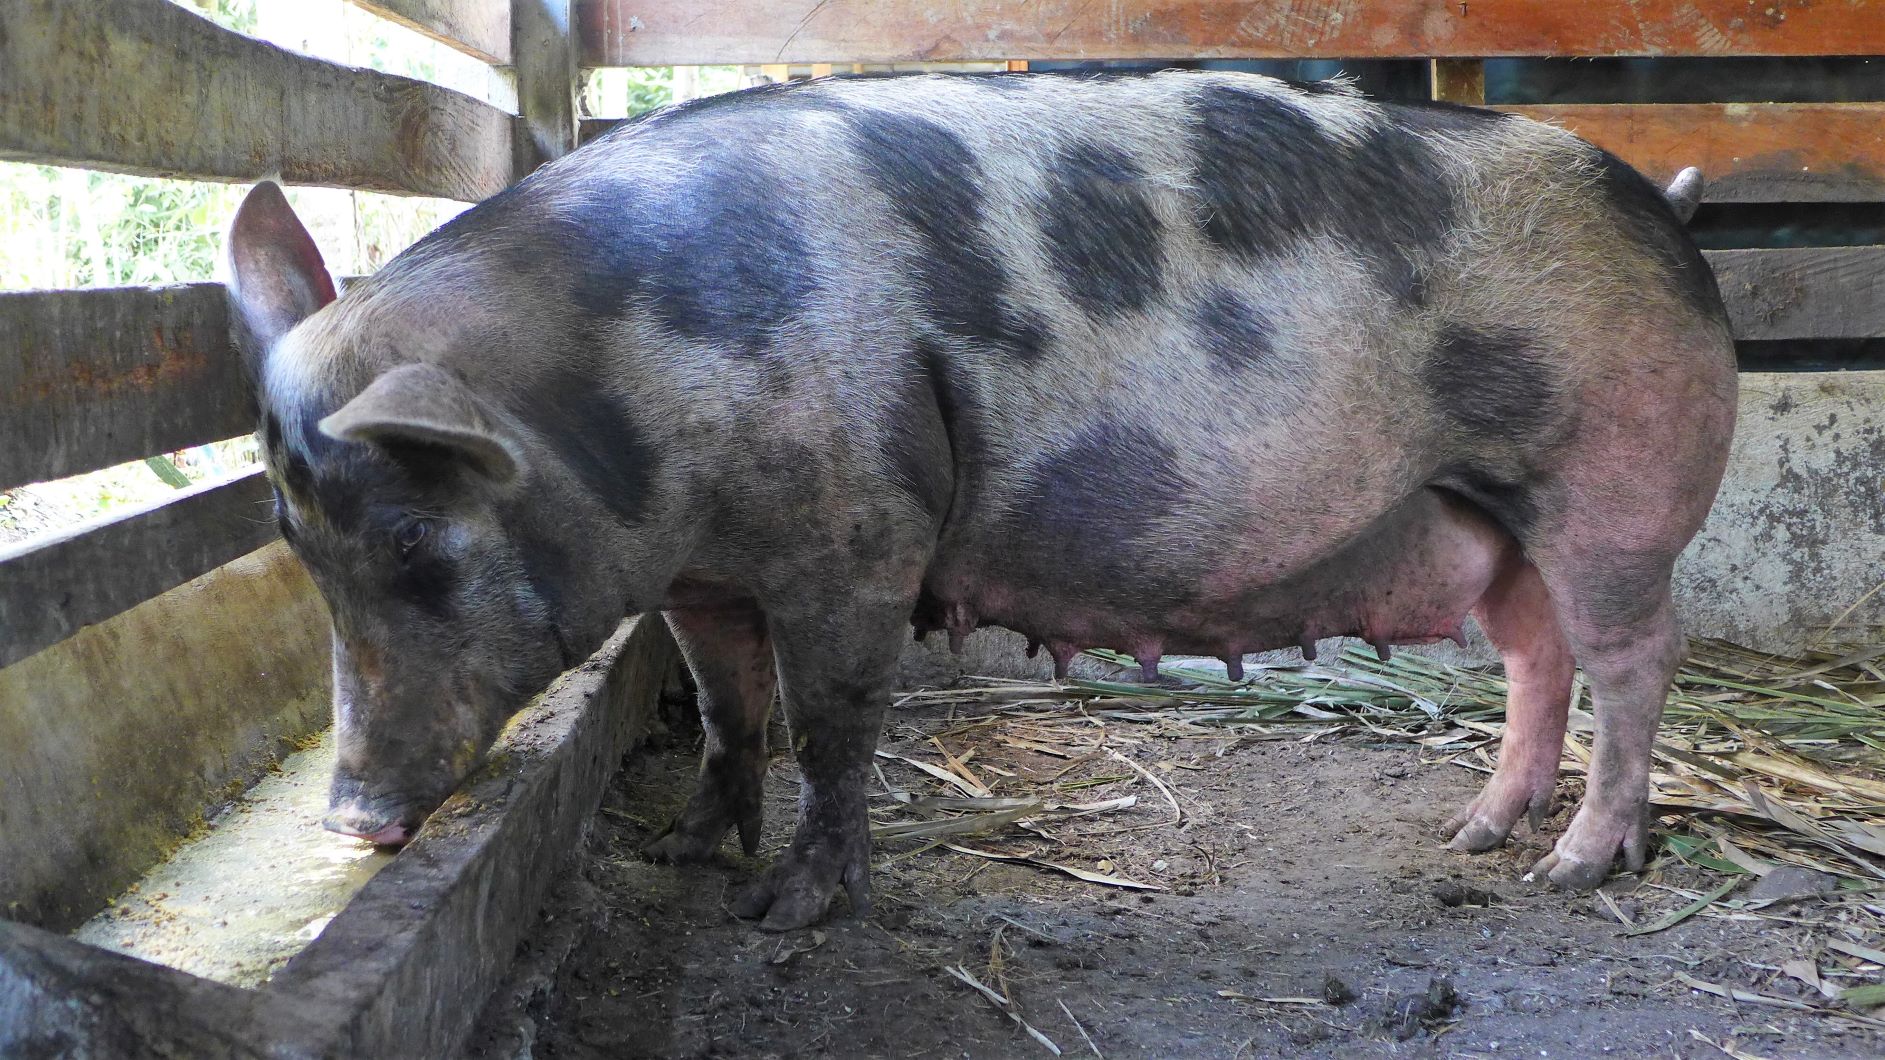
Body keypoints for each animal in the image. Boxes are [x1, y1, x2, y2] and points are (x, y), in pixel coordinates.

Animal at [225, 70, 1736, 931]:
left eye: (413, 536)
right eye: (294, 538)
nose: (351, 819)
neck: (618, 387)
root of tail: (1664, 213)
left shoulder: (859, 531)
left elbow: (832, 722)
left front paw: (789, 914)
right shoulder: (700, 572)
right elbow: (725, 706)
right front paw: (687, 853)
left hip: (1612, 480)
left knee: (1632, 655)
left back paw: (1573, 871)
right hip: (1483, 516)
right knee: (1537, 652)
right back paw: (1475, 834)